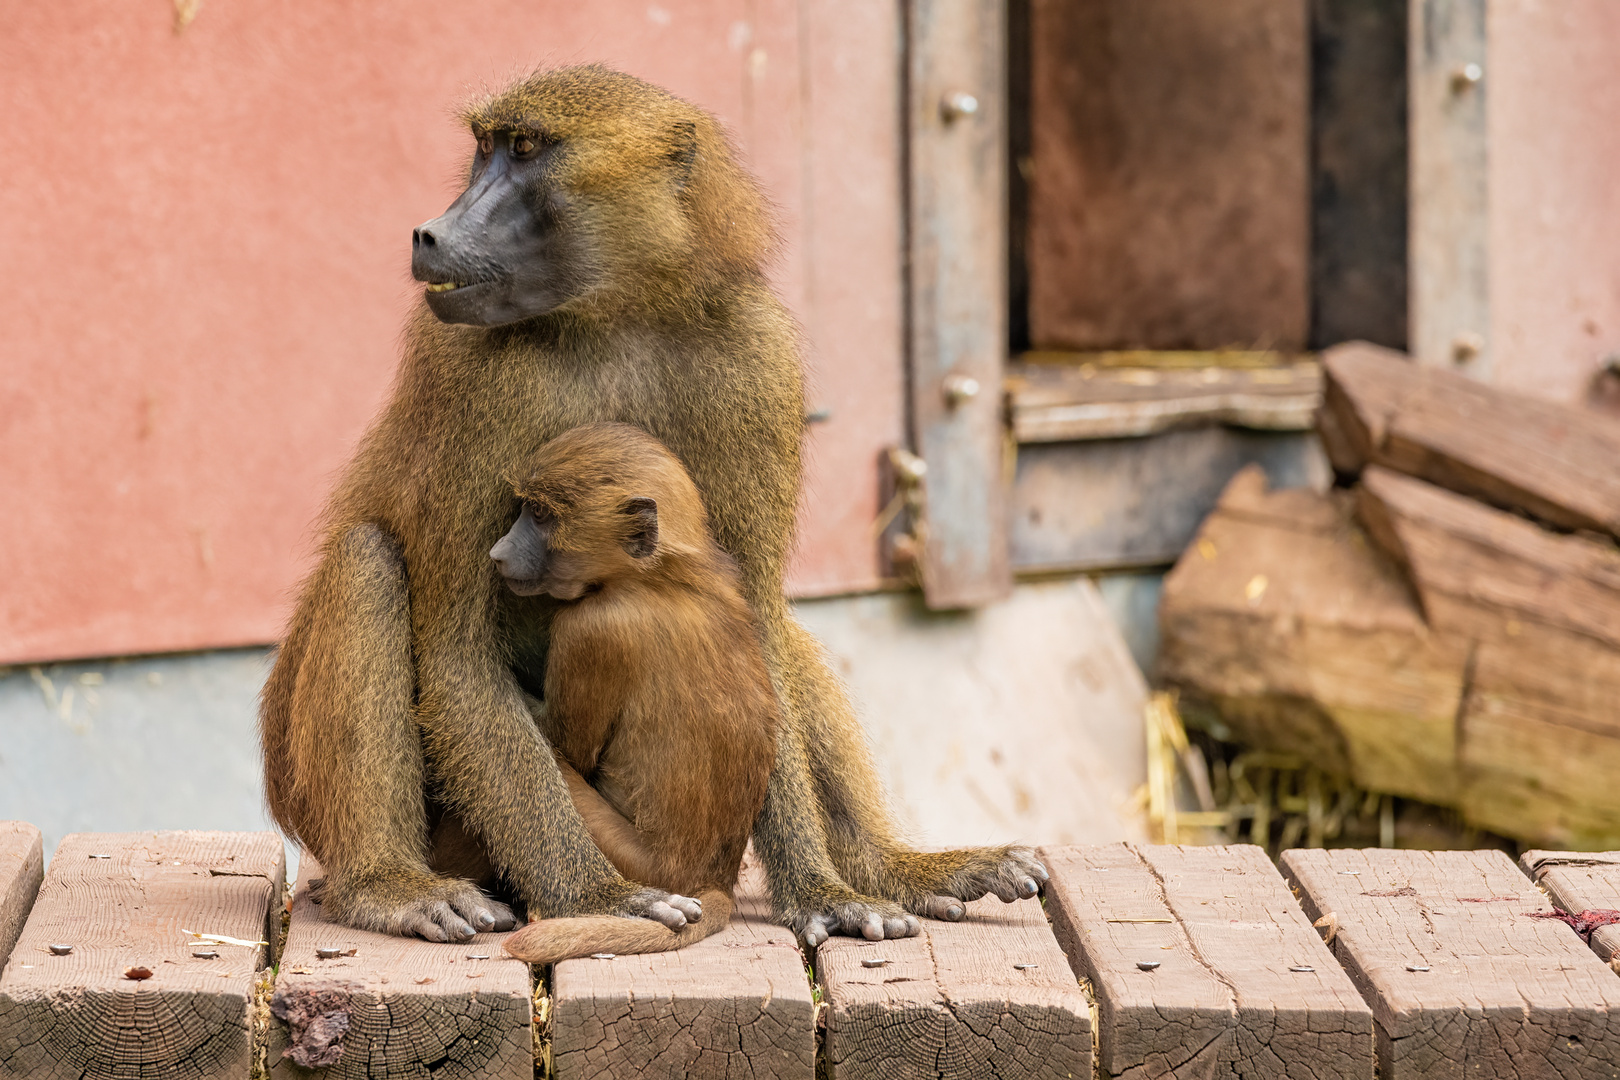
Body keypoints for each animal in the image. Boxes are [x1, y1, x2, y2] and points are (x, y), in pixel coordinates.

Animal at [474, 422, 778, 962]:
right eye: (528, 509)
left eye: (541, 515)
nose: (499, 552)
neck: (659, 574)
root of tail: (715, 879)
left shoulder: (590, 629)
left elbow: (567, 744)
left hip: (632, 859)